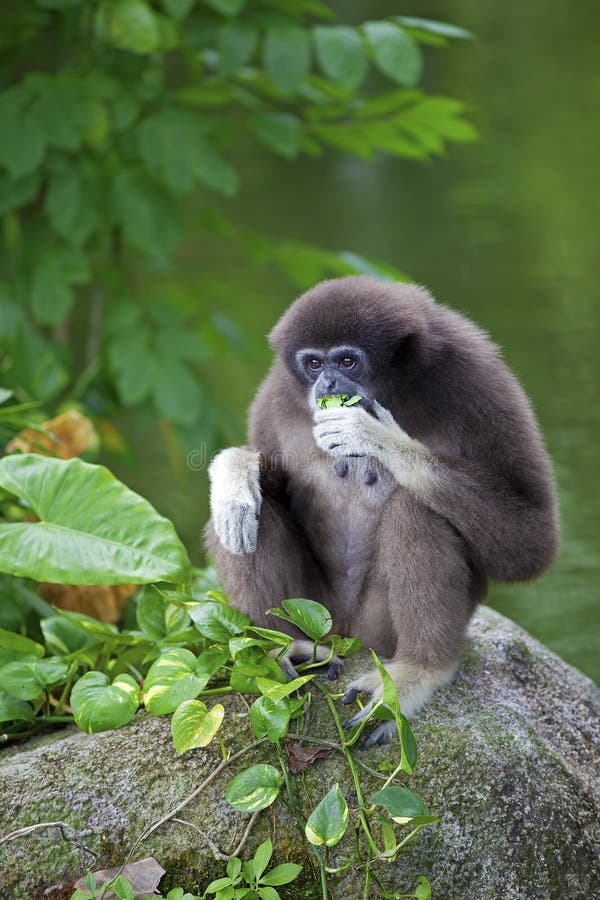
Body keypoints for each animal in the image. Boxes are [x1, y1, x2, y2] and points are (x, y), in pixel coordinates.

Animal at [205, 276, 559, 747]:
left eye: (347, 361)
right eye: (313, 363)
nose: (327, 384)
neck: (398, 385)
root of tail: (347, 635)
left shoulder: (479, 379)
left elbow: (532, 541)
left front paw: (375, 435)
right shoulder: (277, 391)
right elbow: (267, 484)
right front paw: (234, 471)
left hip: (376, 632)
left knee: (416, 507)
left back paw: (417, 672)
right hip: (316, 610)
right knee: (243, 517)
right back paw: (285, 645)